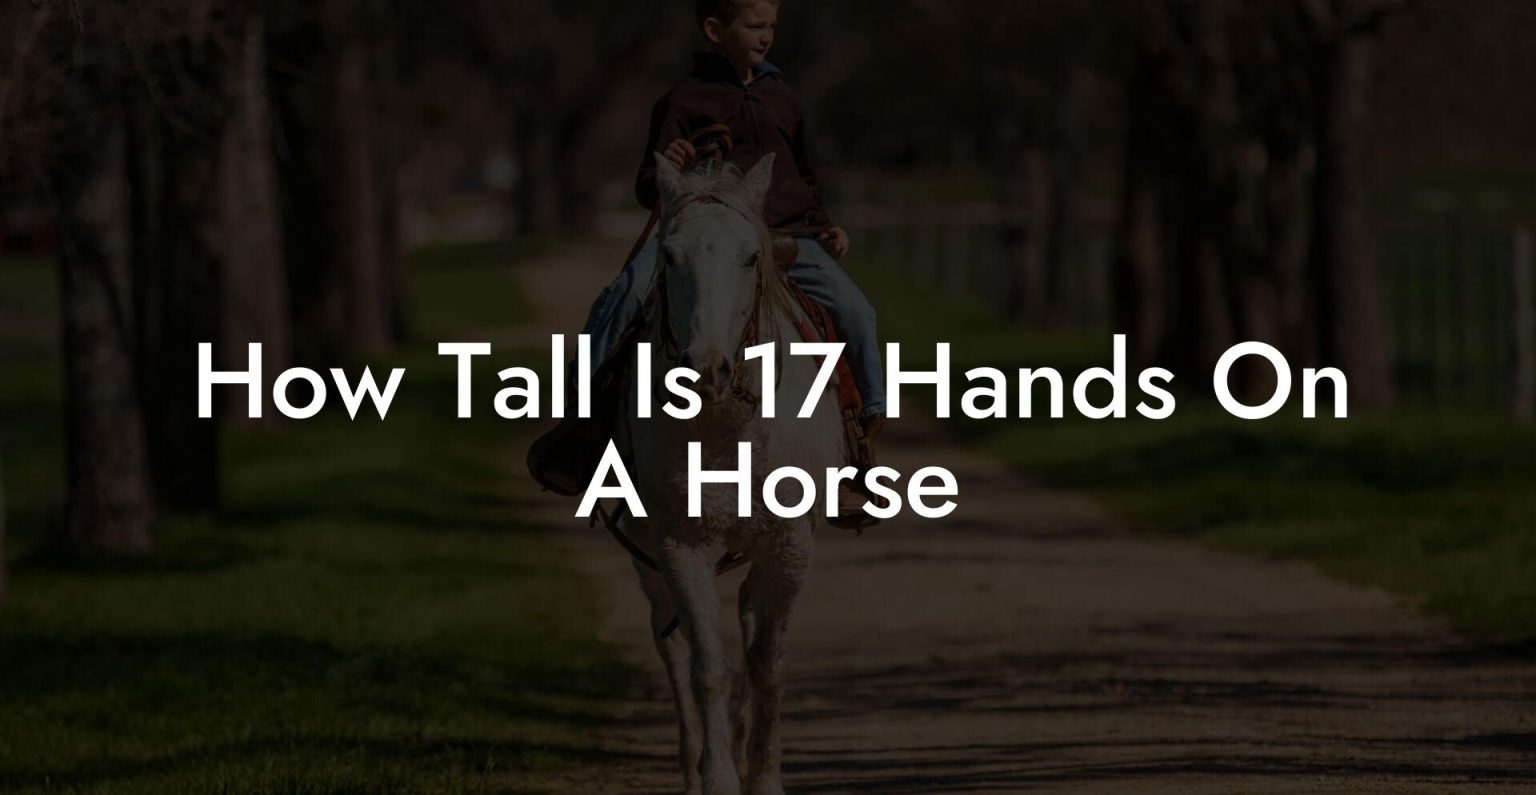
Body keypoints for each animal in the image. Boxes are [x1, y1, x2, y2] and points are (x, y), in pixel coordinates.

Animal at [617, 151, 846, 795]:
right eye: (669, 255)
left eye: (749, 256)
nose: (705, 369)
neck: (727, 429)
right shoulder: (680, 545)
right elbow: (708, 667)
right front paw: (717, 777)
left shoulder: (790, 546)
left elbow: (766, 664)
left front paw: (762, 776)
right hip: (648, 555)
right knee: (671, 644)